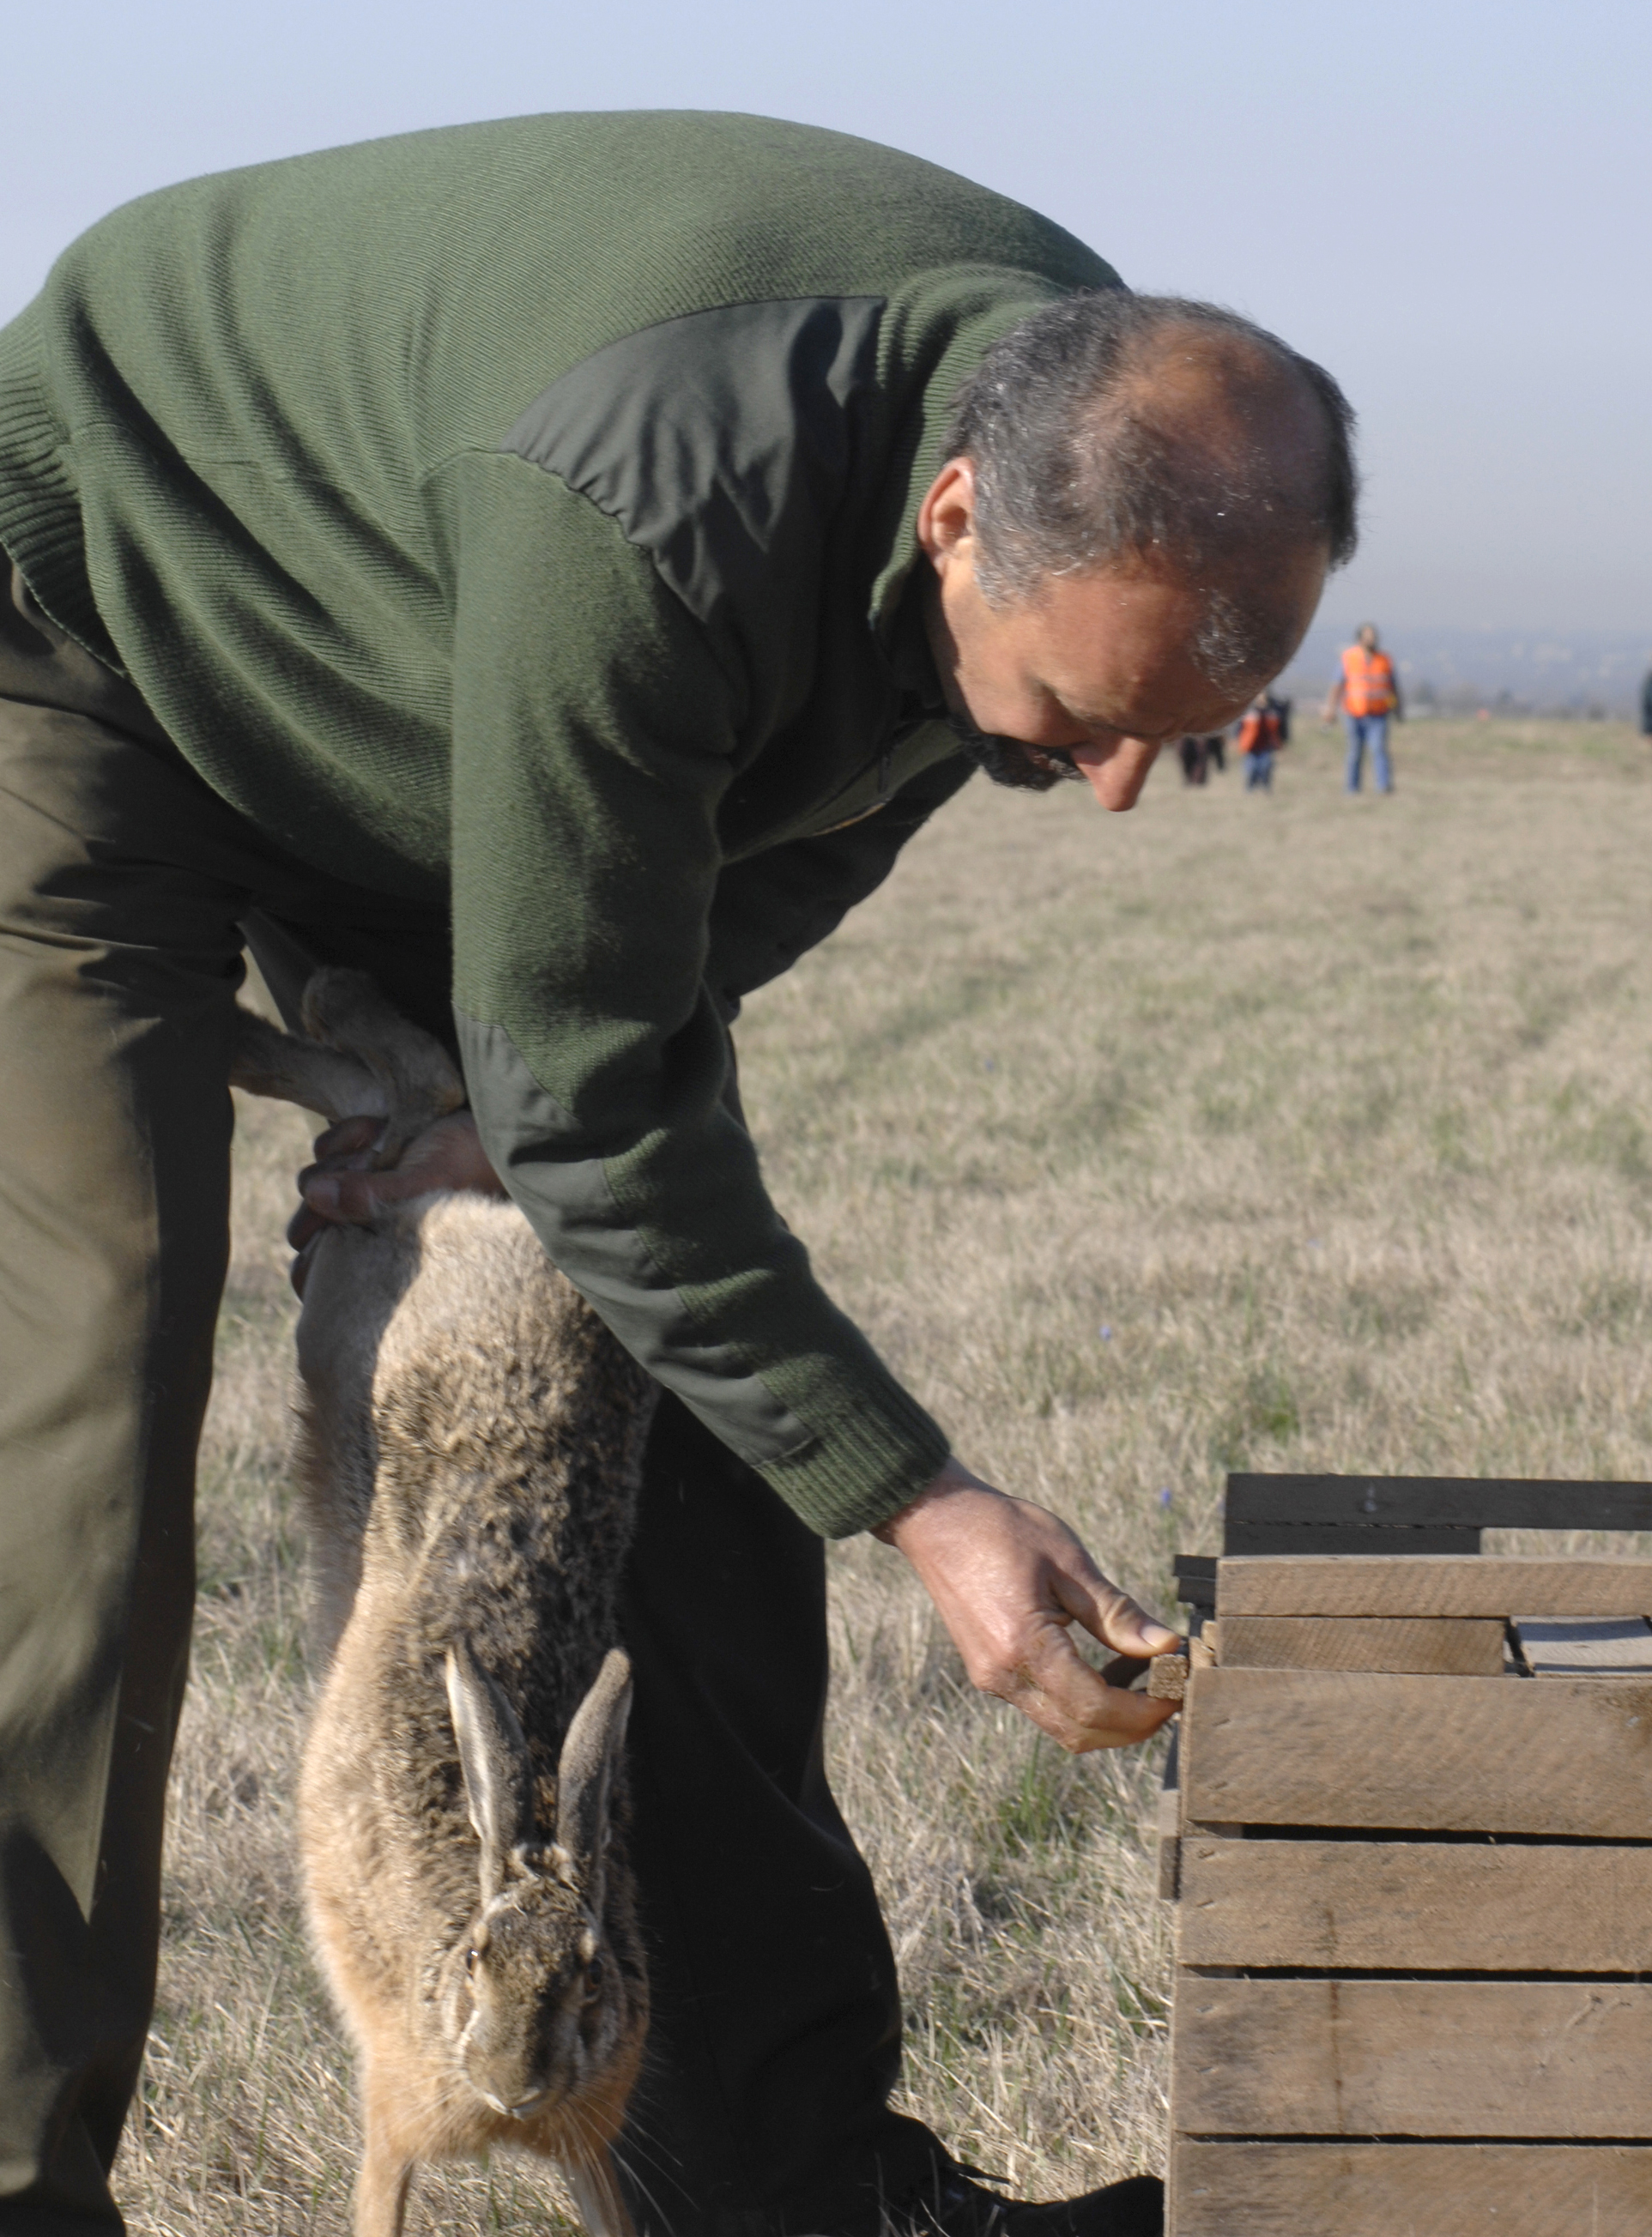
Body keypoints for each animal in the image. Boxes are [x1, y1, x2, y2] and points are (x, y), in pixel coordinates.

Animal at [230, 968, 656, 2237]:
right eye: (474, 1958)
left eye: (592, 1976)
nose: (513, 2080)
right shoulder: (391, 2109)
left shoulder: (589, 2139)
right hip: (381, 1273)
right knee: (409, 1086)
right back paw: (299, 1009)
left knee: (397, 1098)